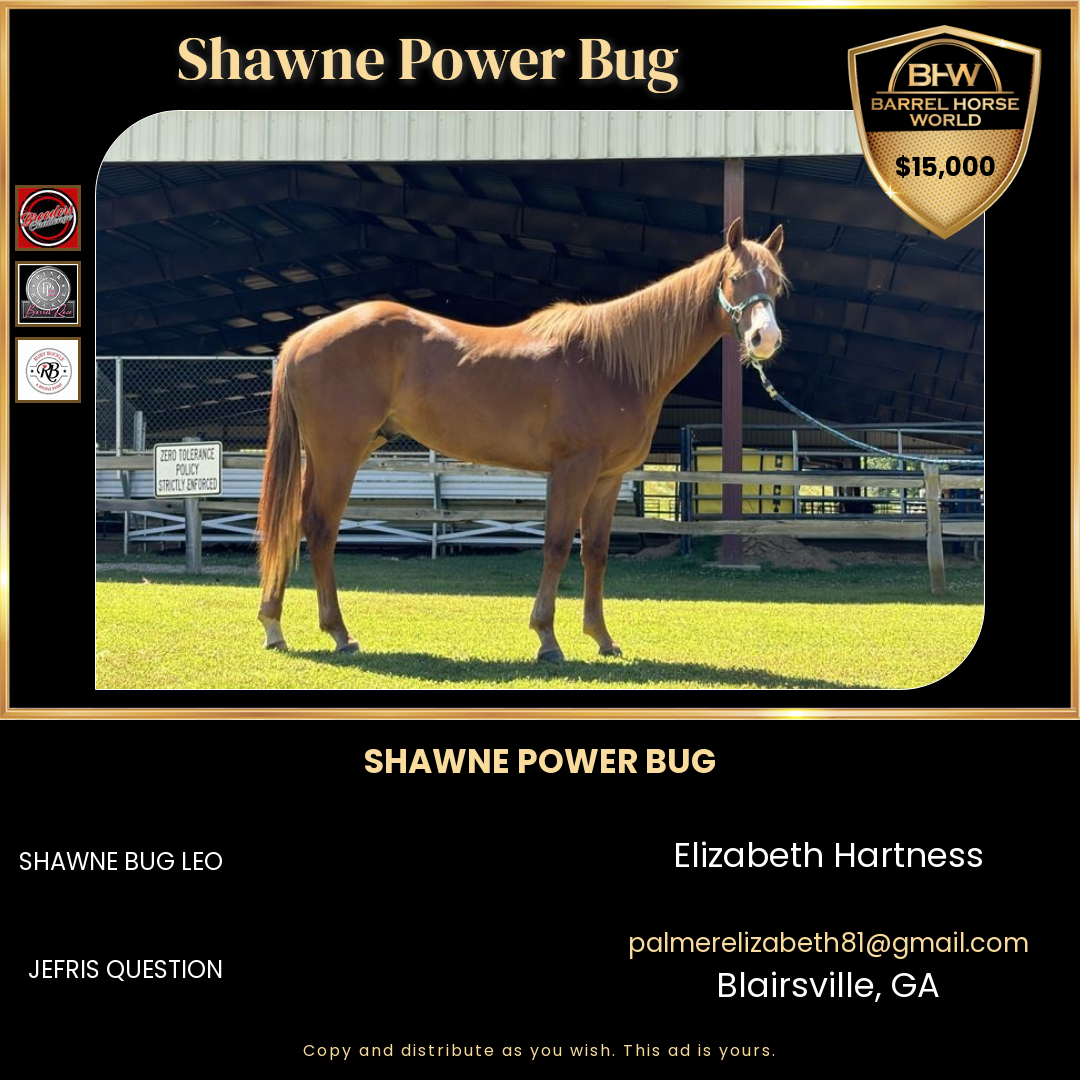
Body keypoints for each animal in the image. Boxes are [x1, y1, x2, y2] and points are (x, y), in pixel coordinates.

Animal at [257, 216, 786, 660]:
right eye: (735, 278)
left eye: (776, 283)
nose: (765, 339)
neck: (613, 361)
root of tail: (303, 338)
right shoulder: (573, 469)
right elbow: (556, 545)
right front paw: (547, 639)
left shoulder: (608, 478)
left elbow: (595, 553)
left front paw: (602, 638)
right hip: (339, 453)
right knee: (320, 528)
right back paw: (339, 634)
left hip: (332, 452)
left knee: (293, 523)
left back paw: (275, 626)